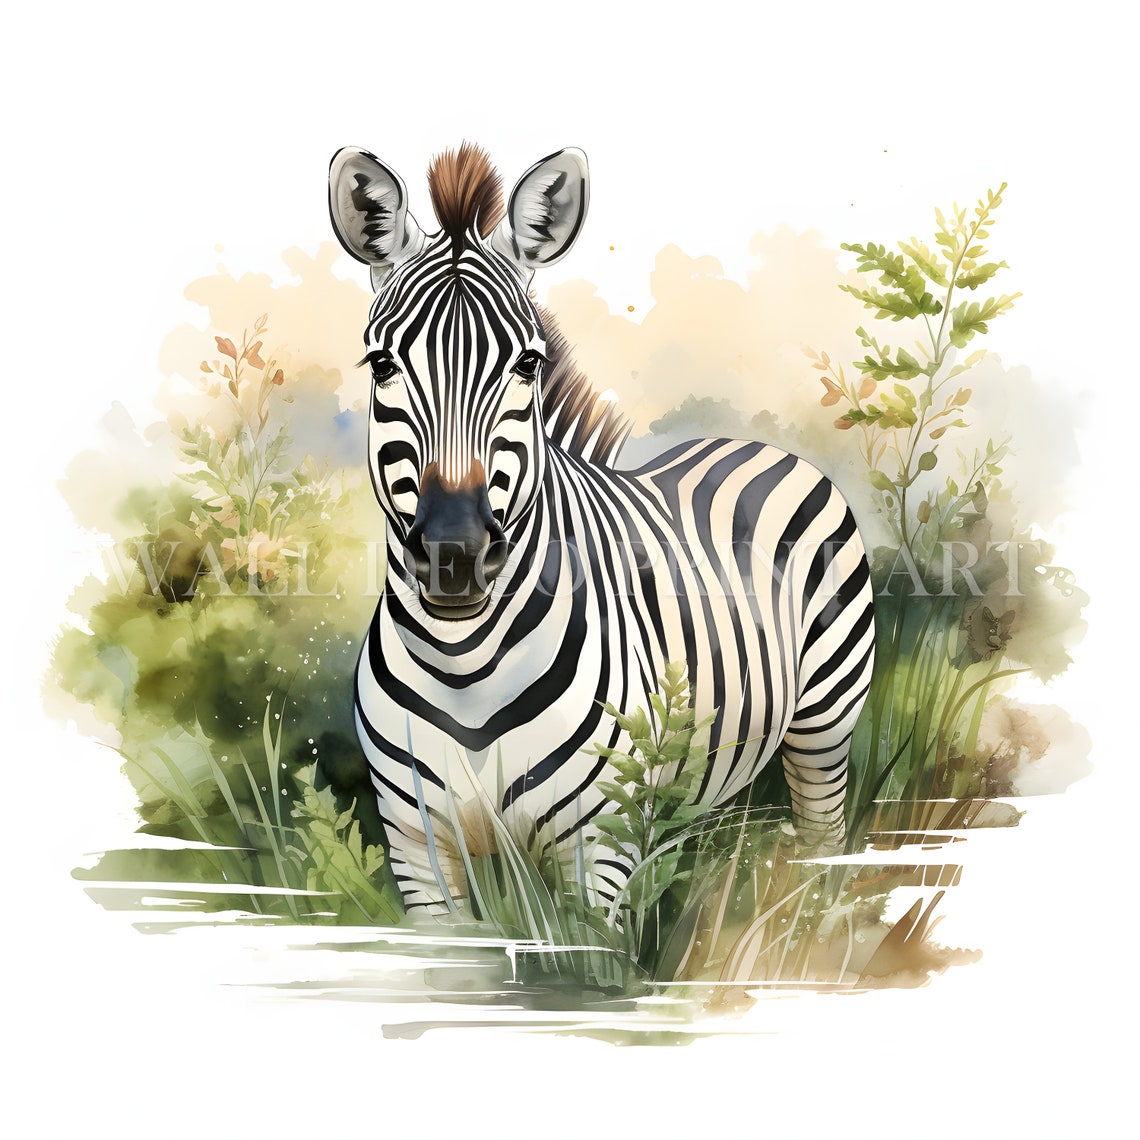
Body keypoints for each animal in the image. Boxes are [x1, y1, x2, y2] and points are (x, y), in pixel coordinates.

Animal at [329, 142, 876, 912]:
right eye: (381, 363)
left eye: (529, 363)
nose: (454, 555)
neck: (462, 666)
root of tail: (758, 446)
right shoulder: (419, 853)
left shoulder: (599, 847)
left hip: (824, 721)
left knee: (821, 846)